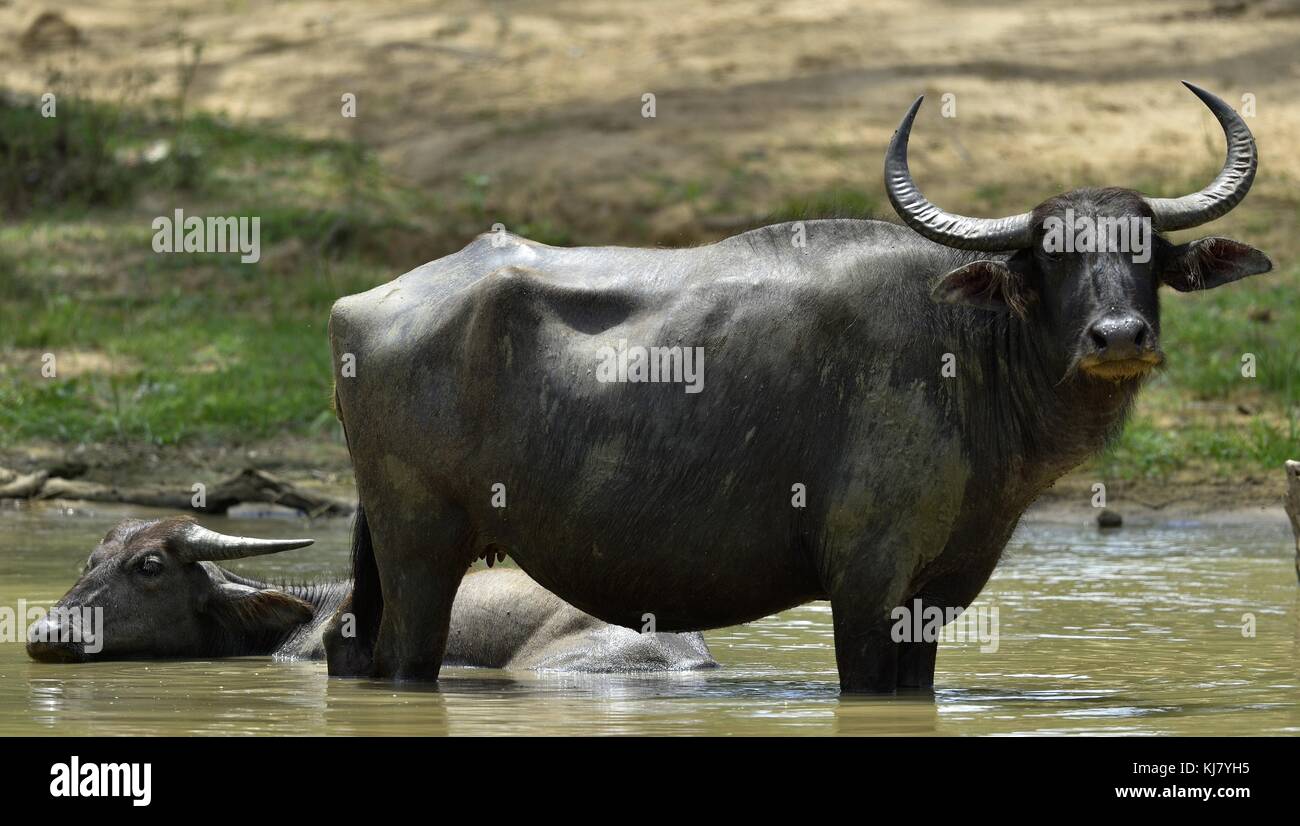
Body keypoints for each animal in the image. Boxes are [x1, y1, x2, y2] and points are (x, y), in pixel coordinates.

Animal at [324, 82, 1271, 692]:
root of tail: (357, 304)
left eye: (1144, 250)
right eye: (1051, 256)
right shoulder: (864, 582)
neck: (970, 357)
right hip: (419, 546)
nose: (1119, 337)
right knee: (402, 663)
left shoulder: (940, 591)